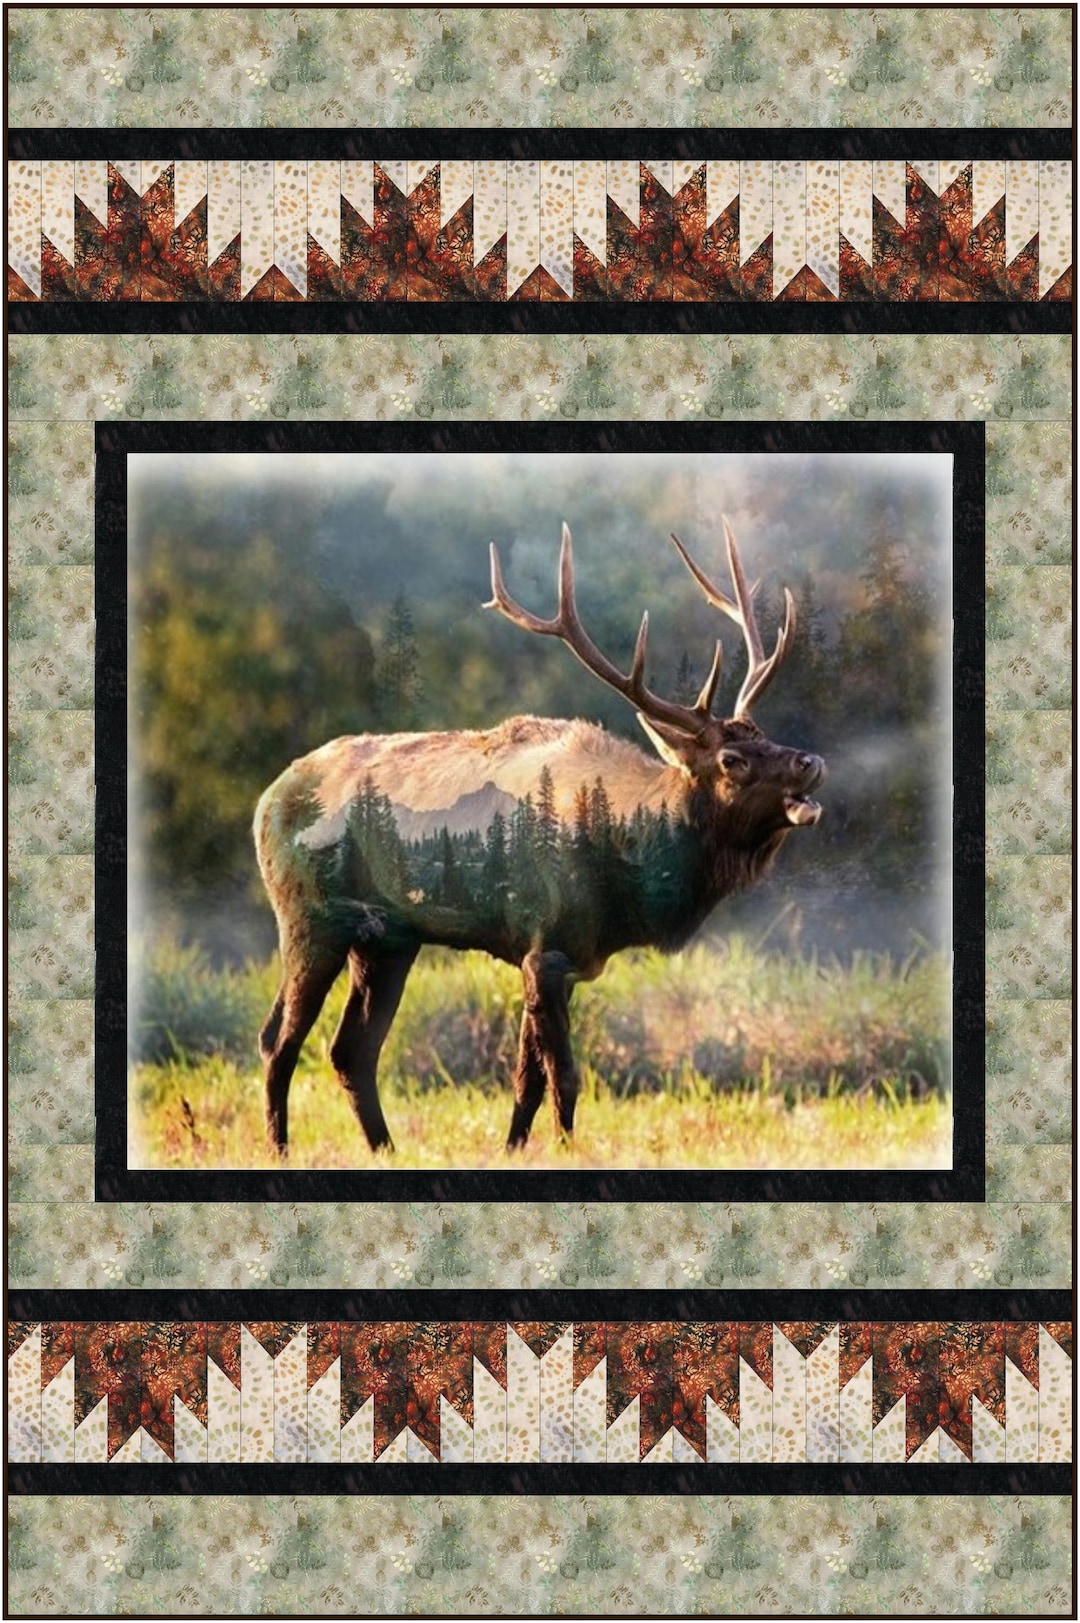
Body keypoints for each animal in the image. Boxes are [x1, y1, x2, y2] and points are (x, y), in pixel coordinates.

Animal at [254, 519, 825, 1158]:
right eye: (732, 759)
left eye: (764, 734)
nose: (811, 762)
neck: (627, 878)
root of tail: (265, 801)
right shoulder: (547, 946)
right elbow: (566, 1077)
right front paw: (566, 1148)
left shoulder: (554, 956)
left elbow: (527, 1079)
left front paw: (513, 1147)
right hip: (310, 918)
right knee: (278, 1039)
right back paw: (279, 1148)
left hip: (387, 941)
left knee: (351, 1050)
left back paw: (385, 1149)